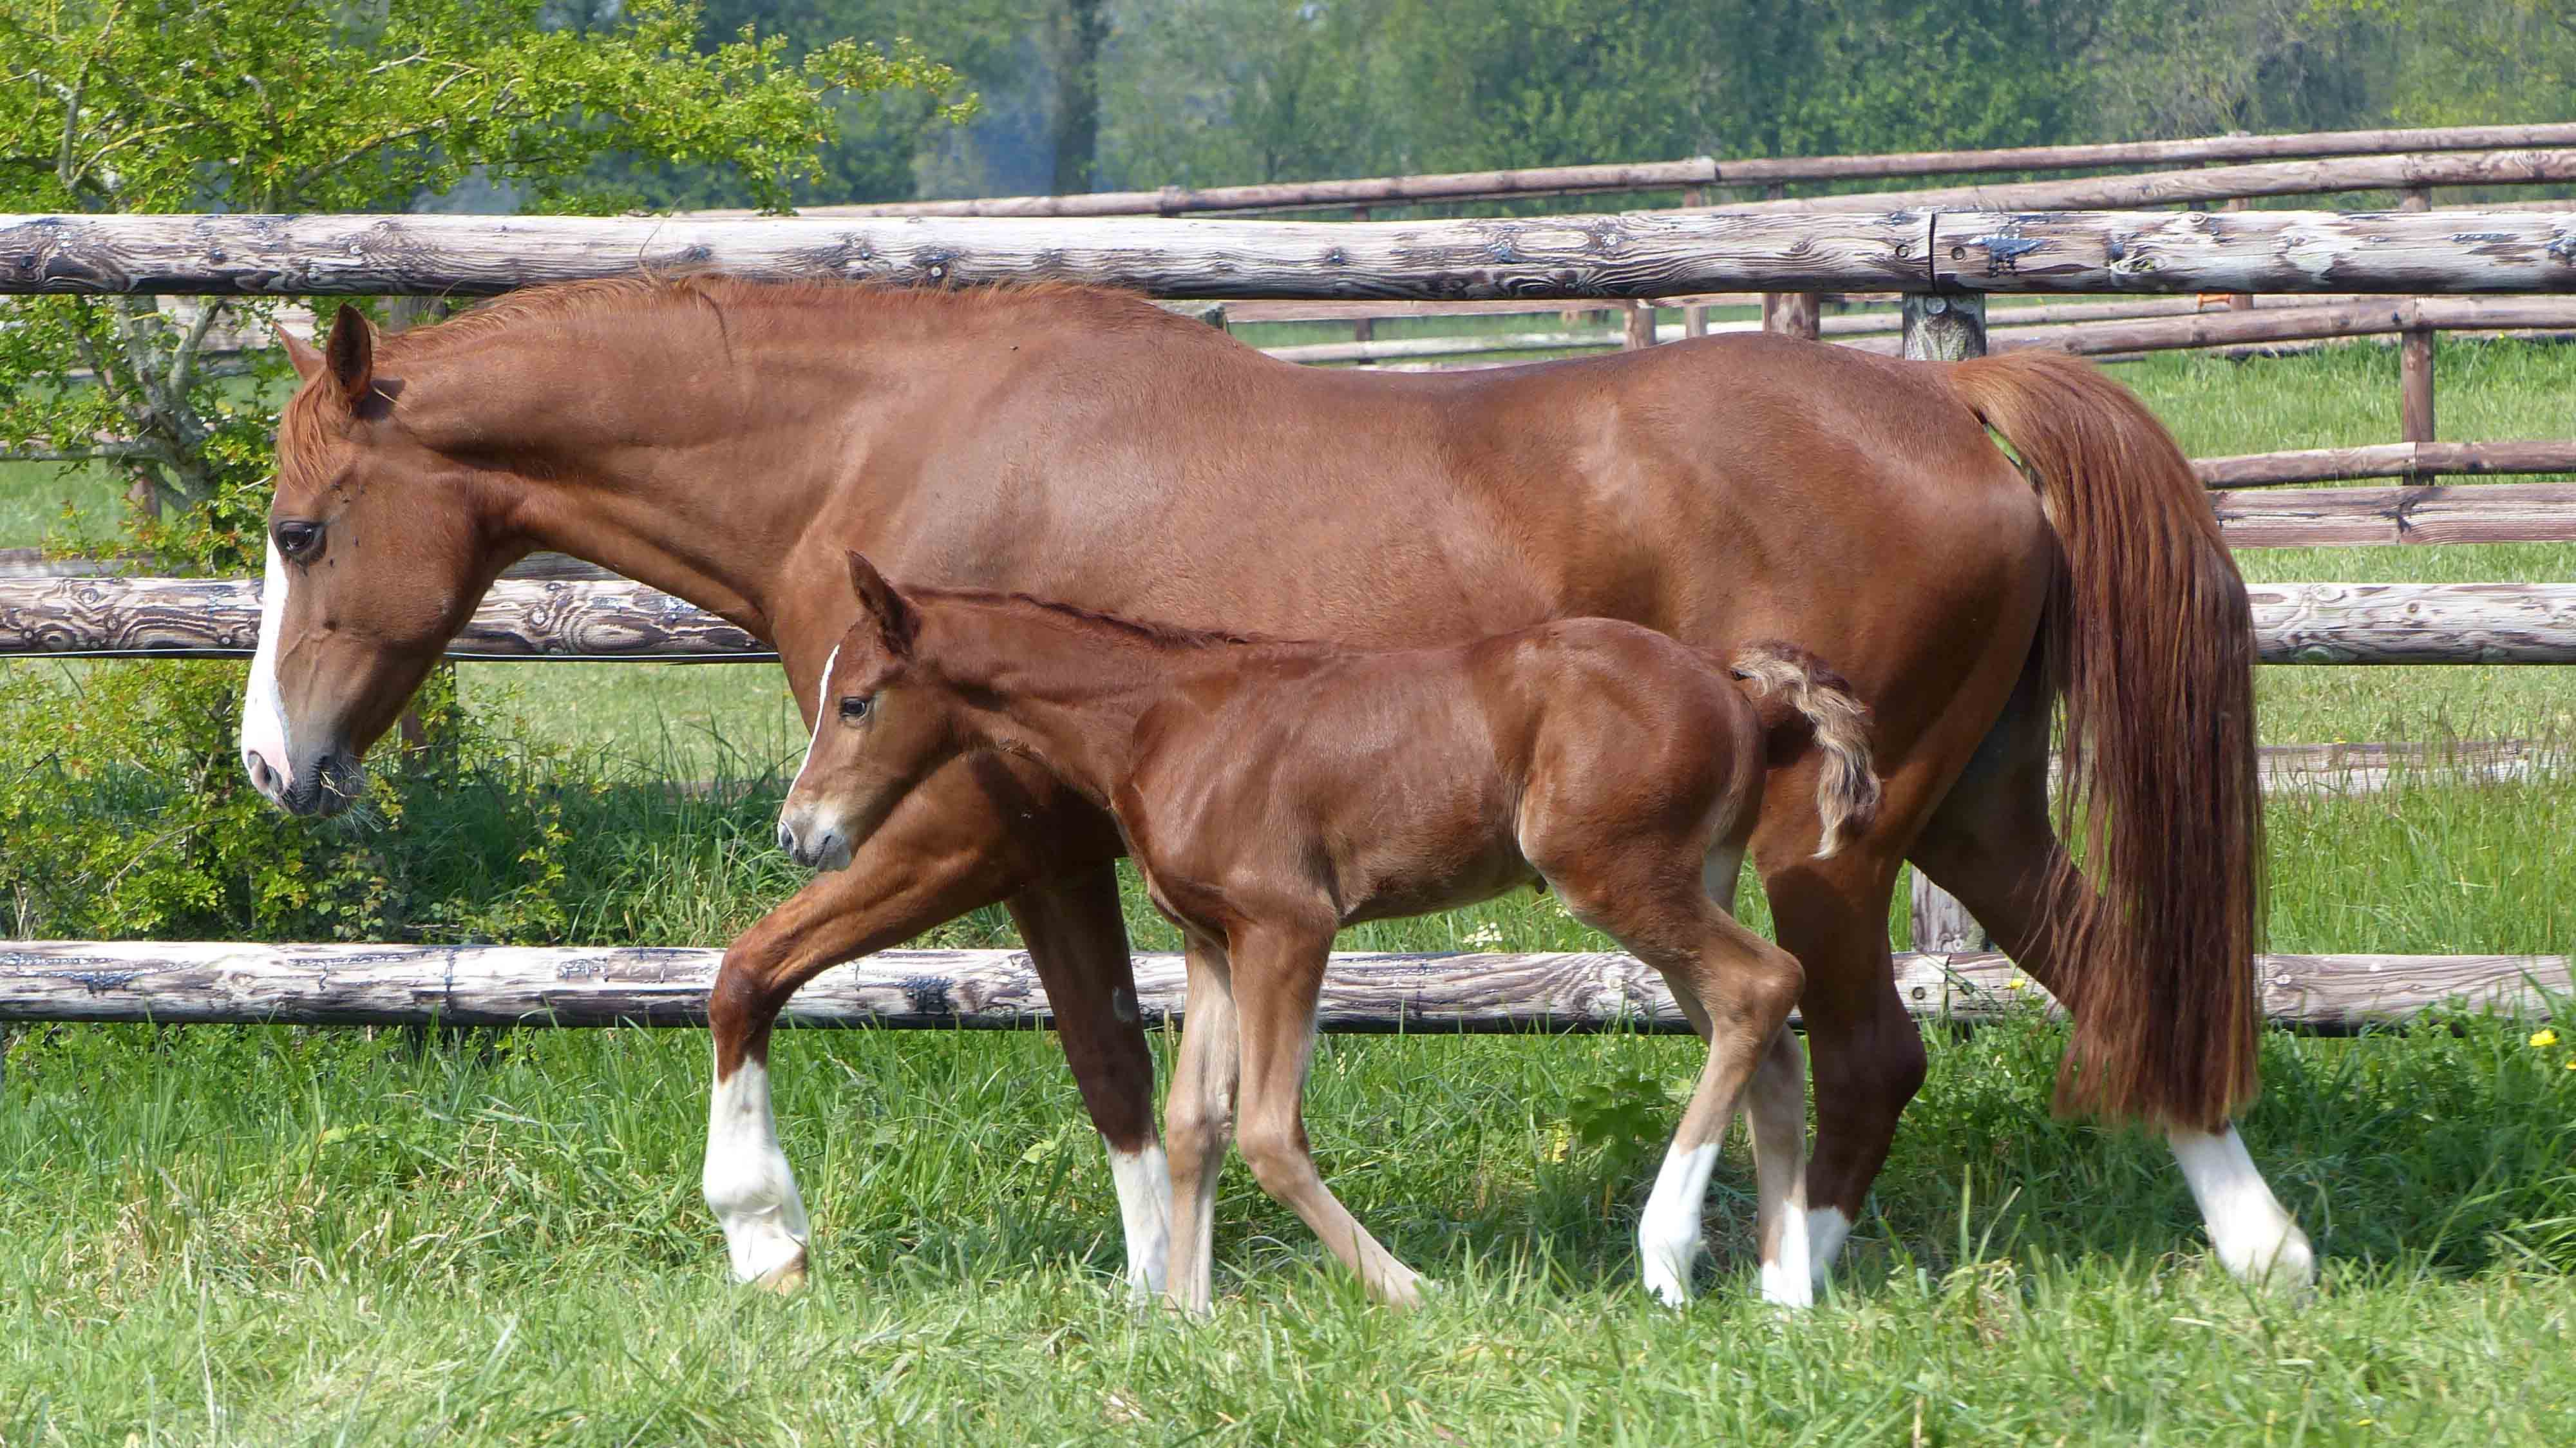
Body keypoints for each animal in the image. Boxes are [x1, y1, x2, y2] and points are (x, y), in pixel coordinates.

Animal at [779, 552, 1887, 1310]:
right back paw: (1783, 1293)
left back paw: (1668, 1252)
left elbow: (1268, 1131)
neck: (1160, 723)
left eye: (857, 702)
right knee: (1765, 1035)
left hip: (1614, 876)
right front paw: (1185, 1316)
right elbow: (1194, 1121)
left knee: (1761, 985)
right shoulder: (1211, 943)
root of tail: (1726, 681)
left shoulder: (1289, 927)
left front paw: (1408, 1291)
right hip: (1689, 877)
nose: (801, 833)